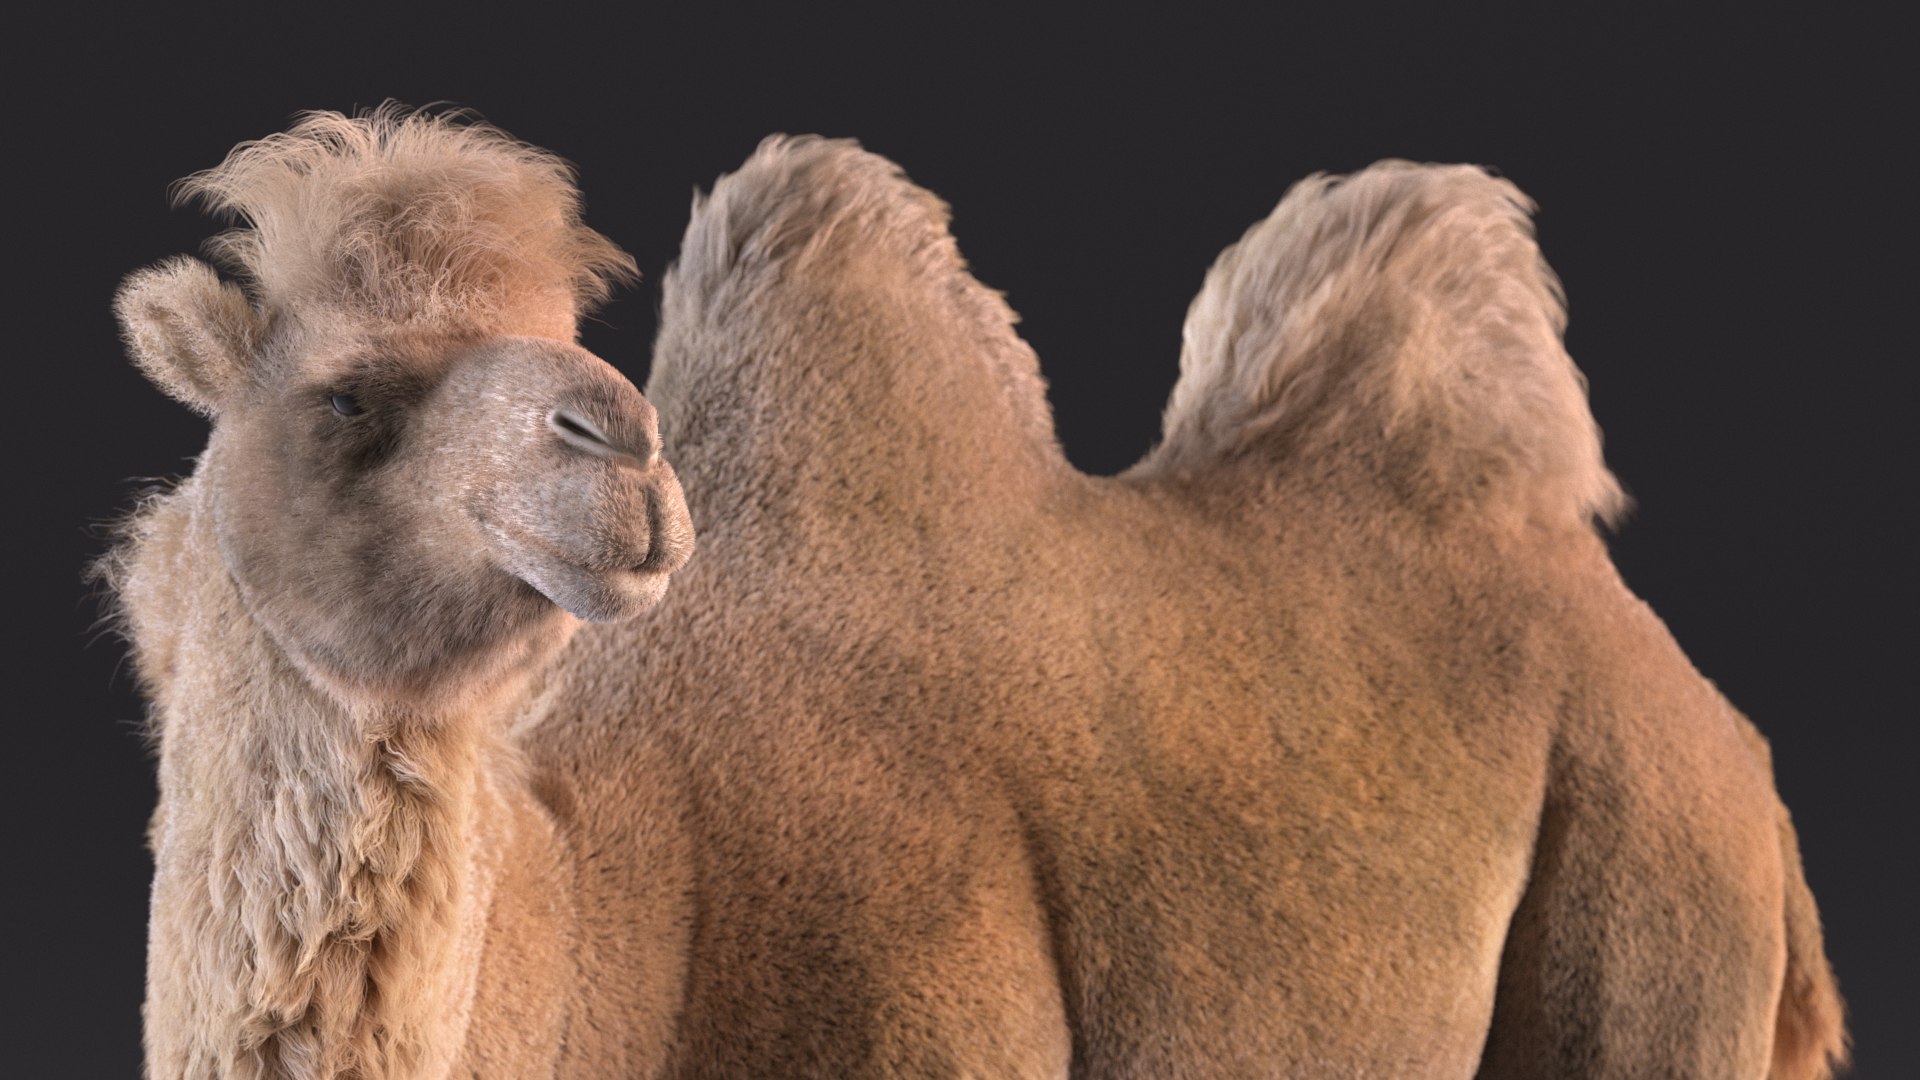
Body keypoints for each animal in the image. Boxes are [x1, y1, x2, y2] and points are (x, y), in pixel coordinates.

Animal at [101, 106, 1847, 1078]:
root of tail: (1728, 738)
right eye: (344, 396)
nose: (622, 454)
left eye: (565, 337)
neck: (630, 894)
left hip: (1659, 889)